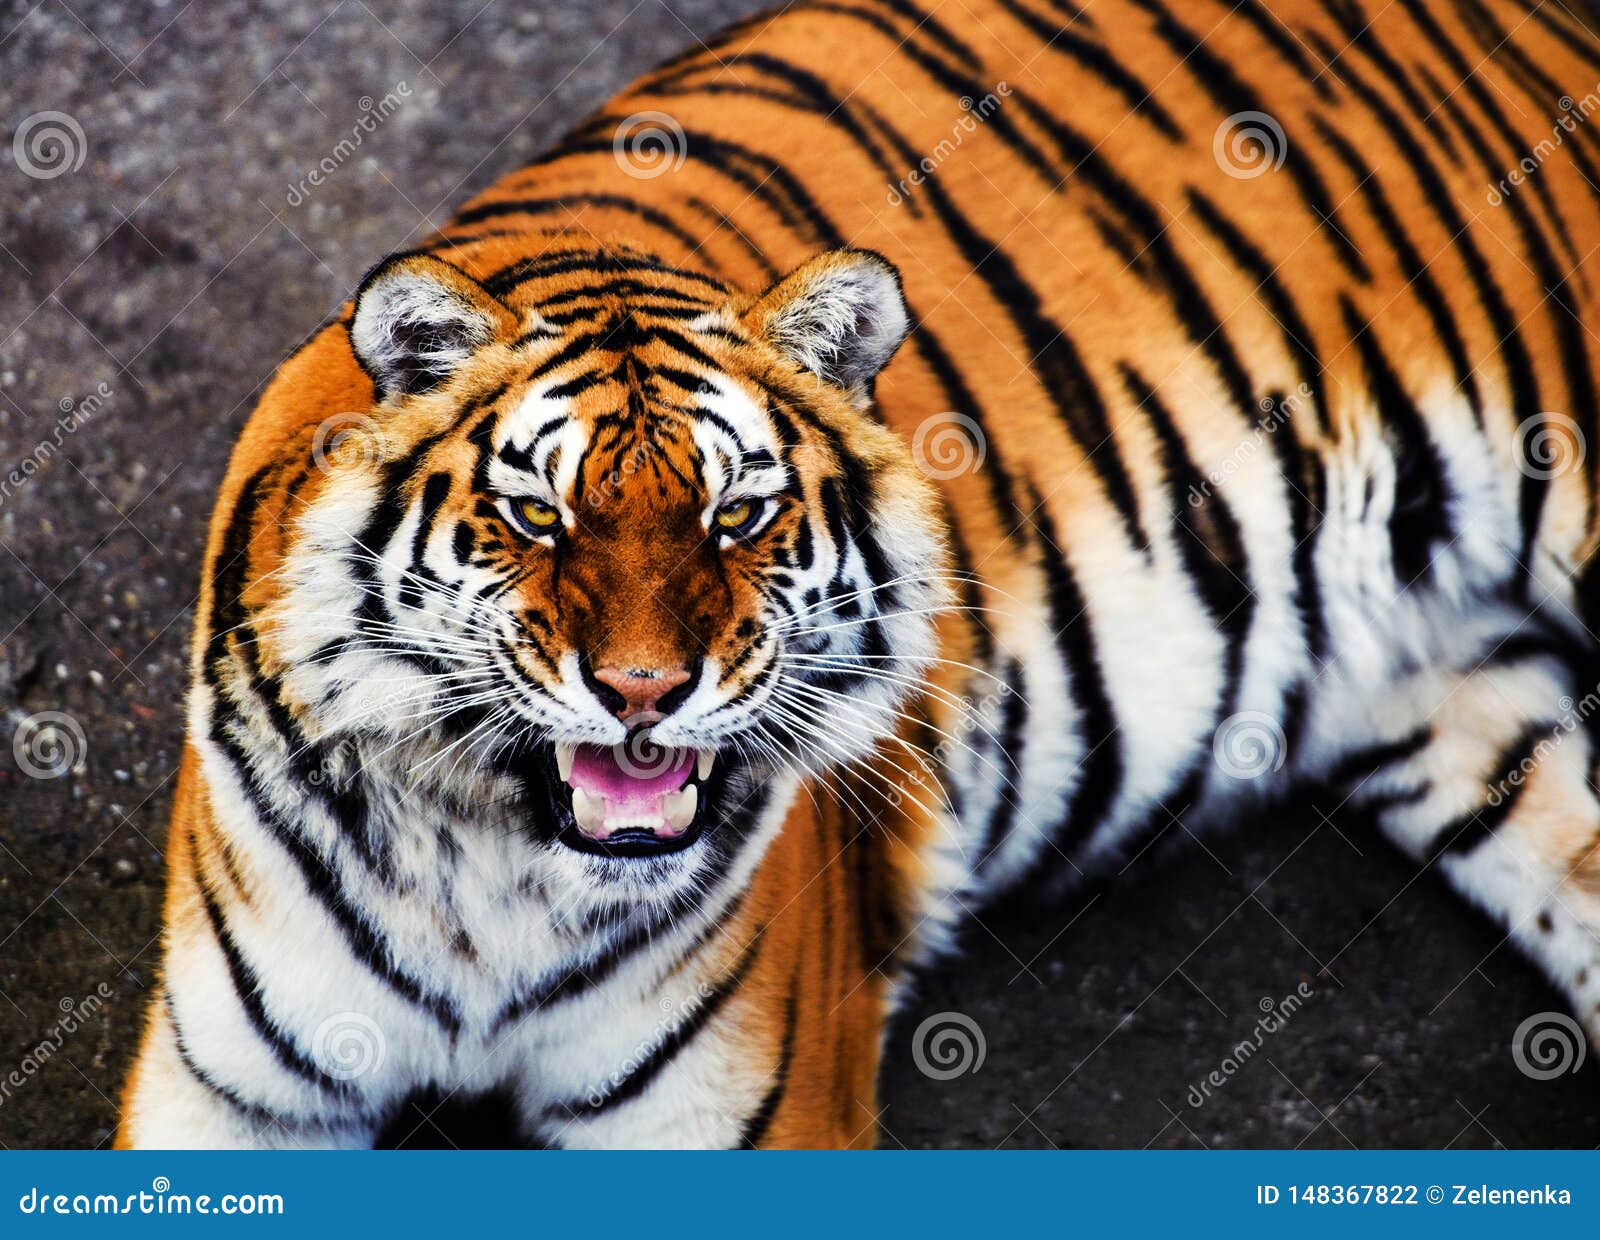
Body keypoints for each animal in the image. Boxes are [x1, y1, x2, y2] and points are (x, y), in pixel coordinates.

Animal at [118, 0, 1600, 1148]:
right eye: (538, 516)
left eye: (739, 514)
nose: (643, 694)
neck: (496, 874)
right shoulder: (225, 1085)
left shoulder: (742, 1108)